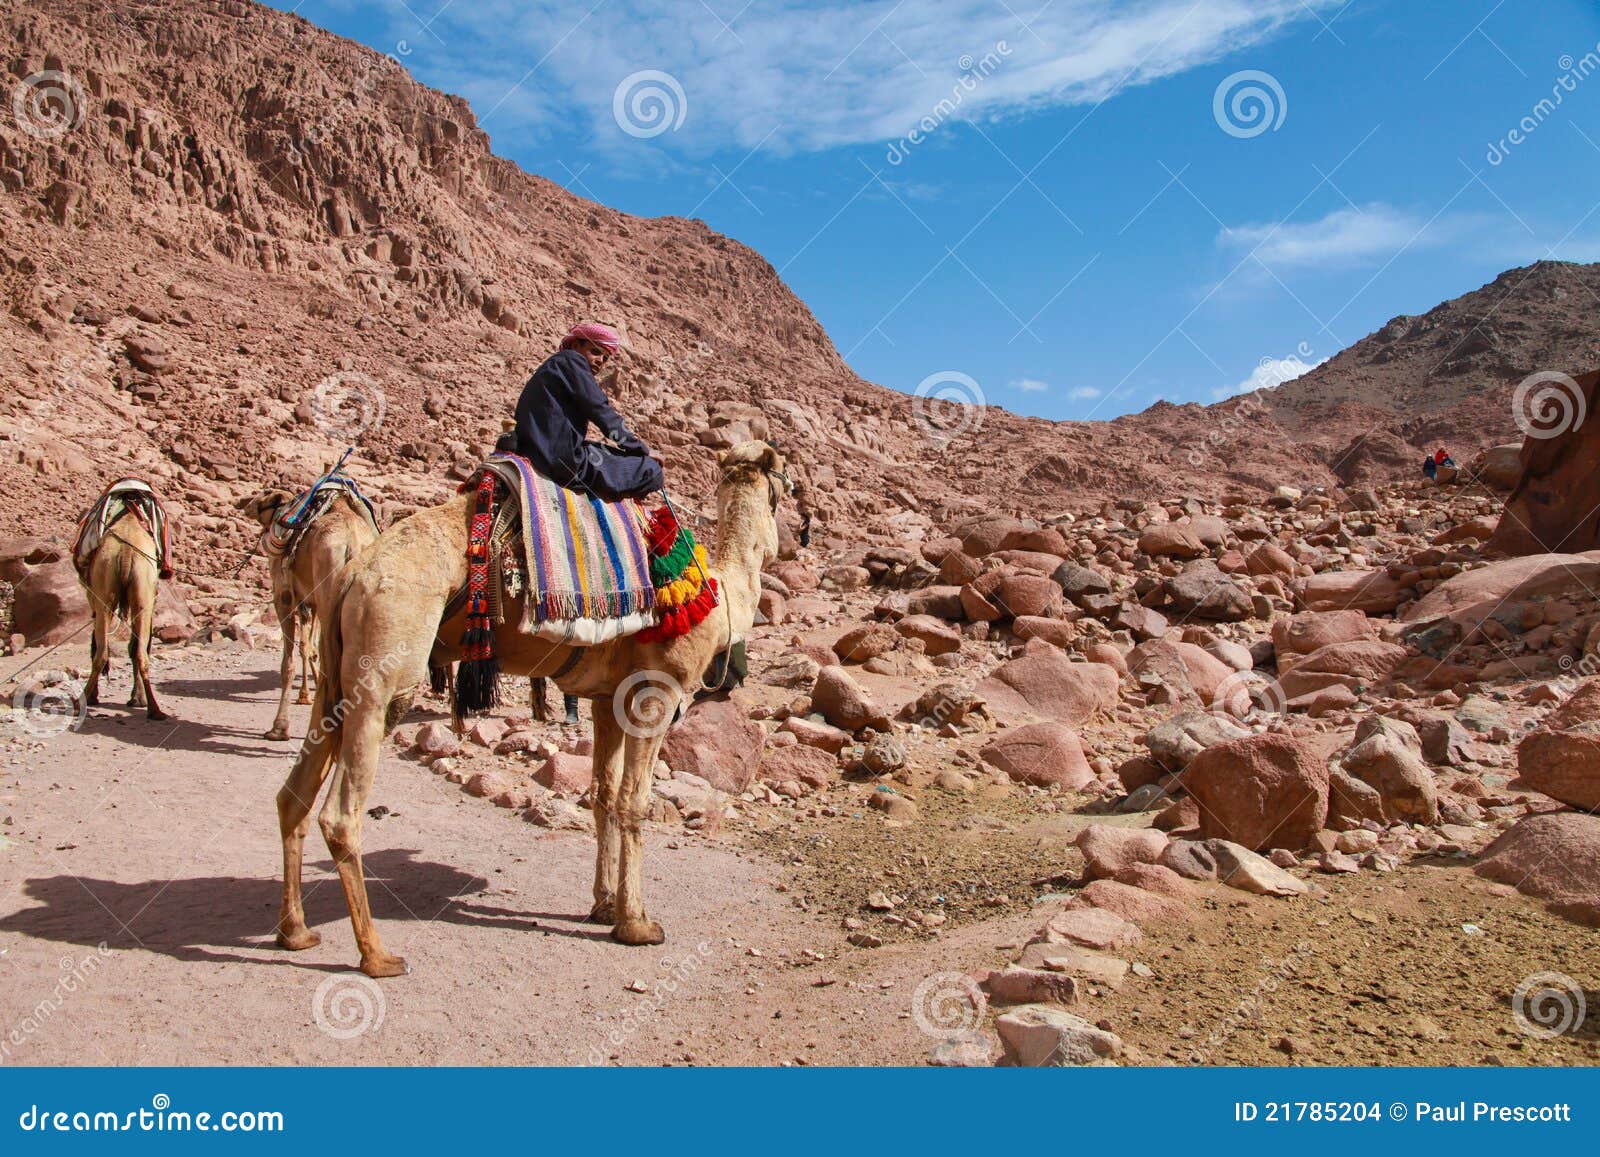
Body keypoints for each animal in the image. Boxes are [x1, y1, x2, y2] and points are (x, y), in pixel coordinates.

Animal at [79, 513, 168, 721]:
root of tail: (126, 551)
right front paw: (137, 699)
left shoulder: (93, 597)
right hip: (142, 591)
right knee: (140, 652)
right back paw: (154, 709)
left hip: (106, 590)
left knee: (103, 651)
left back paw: (84, 700)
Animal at [239, 486, 380, 740]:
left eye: (264, 493)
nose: (245, 504)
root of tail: (353, 543)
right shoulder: (309, 603)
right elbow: (308, 646)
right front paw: (304, 696)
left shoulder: (285, 597)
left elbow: (290, 661)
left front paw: (279, 727)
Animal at [273, 441, 787, 977]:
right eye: (786, 490)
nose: (792, 538)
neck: (717, 592)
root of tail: (354, 572)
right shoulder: (656, 693)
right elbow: (633, 800)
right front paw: (636, 923)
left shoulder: (607, 698)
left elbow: (602, 794)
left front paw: (603, 905)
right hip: (385, 663)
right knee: (341, 813)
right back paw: (376, 954)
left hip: (337, 673)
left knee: (293, 794)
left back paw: (296, 931)